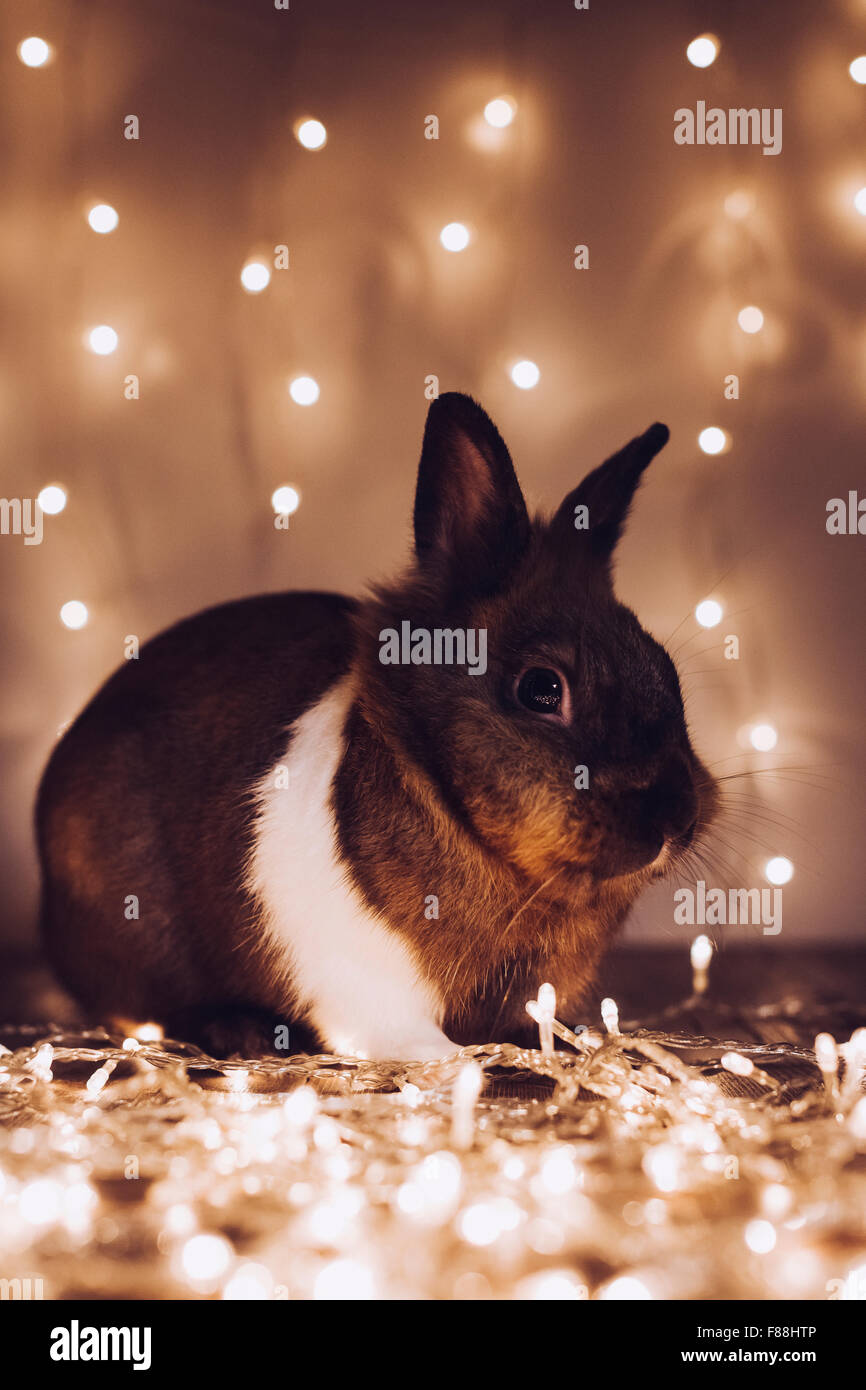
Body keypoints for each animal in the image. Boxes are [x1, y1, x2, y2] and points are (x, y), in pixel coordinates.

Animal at [37, 392, 718, 1060]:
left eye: (665, 668)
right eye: (542, 689)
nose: (673, 818)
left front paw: (568, 1044)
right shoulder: (367, 987)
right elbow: (408, 1037)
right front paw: (449, 1064)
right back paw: (242, 1030)